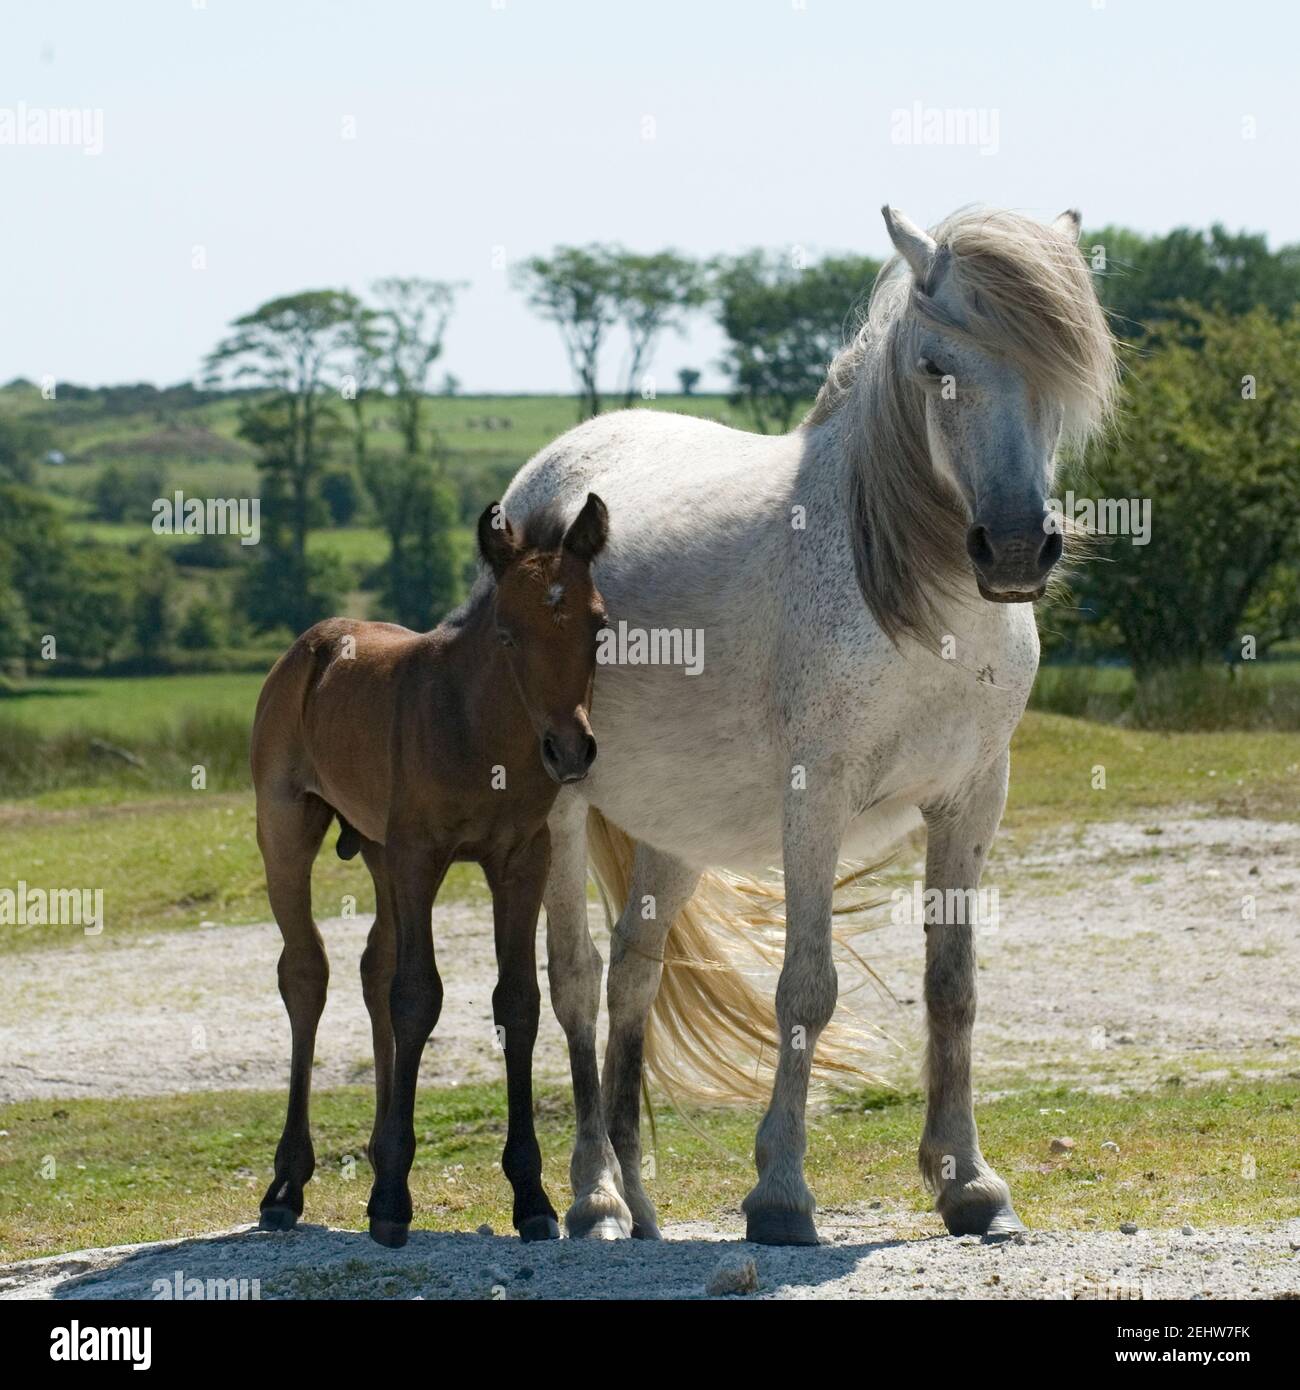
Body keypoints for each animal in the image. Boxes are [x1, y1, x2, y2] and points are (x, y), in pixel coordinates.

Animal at [249, 493, 610, 1247]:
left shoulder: (521, 858)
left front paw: (531, 1196)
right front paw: (391, 1200)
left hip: (377, 849)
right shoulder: (420, 853)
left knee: (371, 966)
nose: (570, 750)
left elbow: (517, 1001)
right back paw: (288, 1183)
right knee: (307, 972)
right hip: (287, 828)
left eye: (598, 627)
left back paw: (374, 1153)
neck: (479, 727)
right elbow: (417, 996)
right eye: (507, 632)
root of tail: (312, 644)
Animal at [501, 205, 1117, 1244]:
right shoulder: (815, 801)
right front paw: (781, 1194)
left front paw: (970, 1184)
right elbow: (806, 988)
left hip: (674, 829)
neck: (922, 606)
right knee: (576, 978)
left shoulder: (972, 800)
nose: (1014, 549)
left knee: (634, 973)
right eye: (936, 365)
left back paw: (642, 1201)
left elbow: (953, 986)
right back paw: (592, 1198)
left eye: (1059, 370)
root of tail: (545, 474)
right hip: (561, 803)